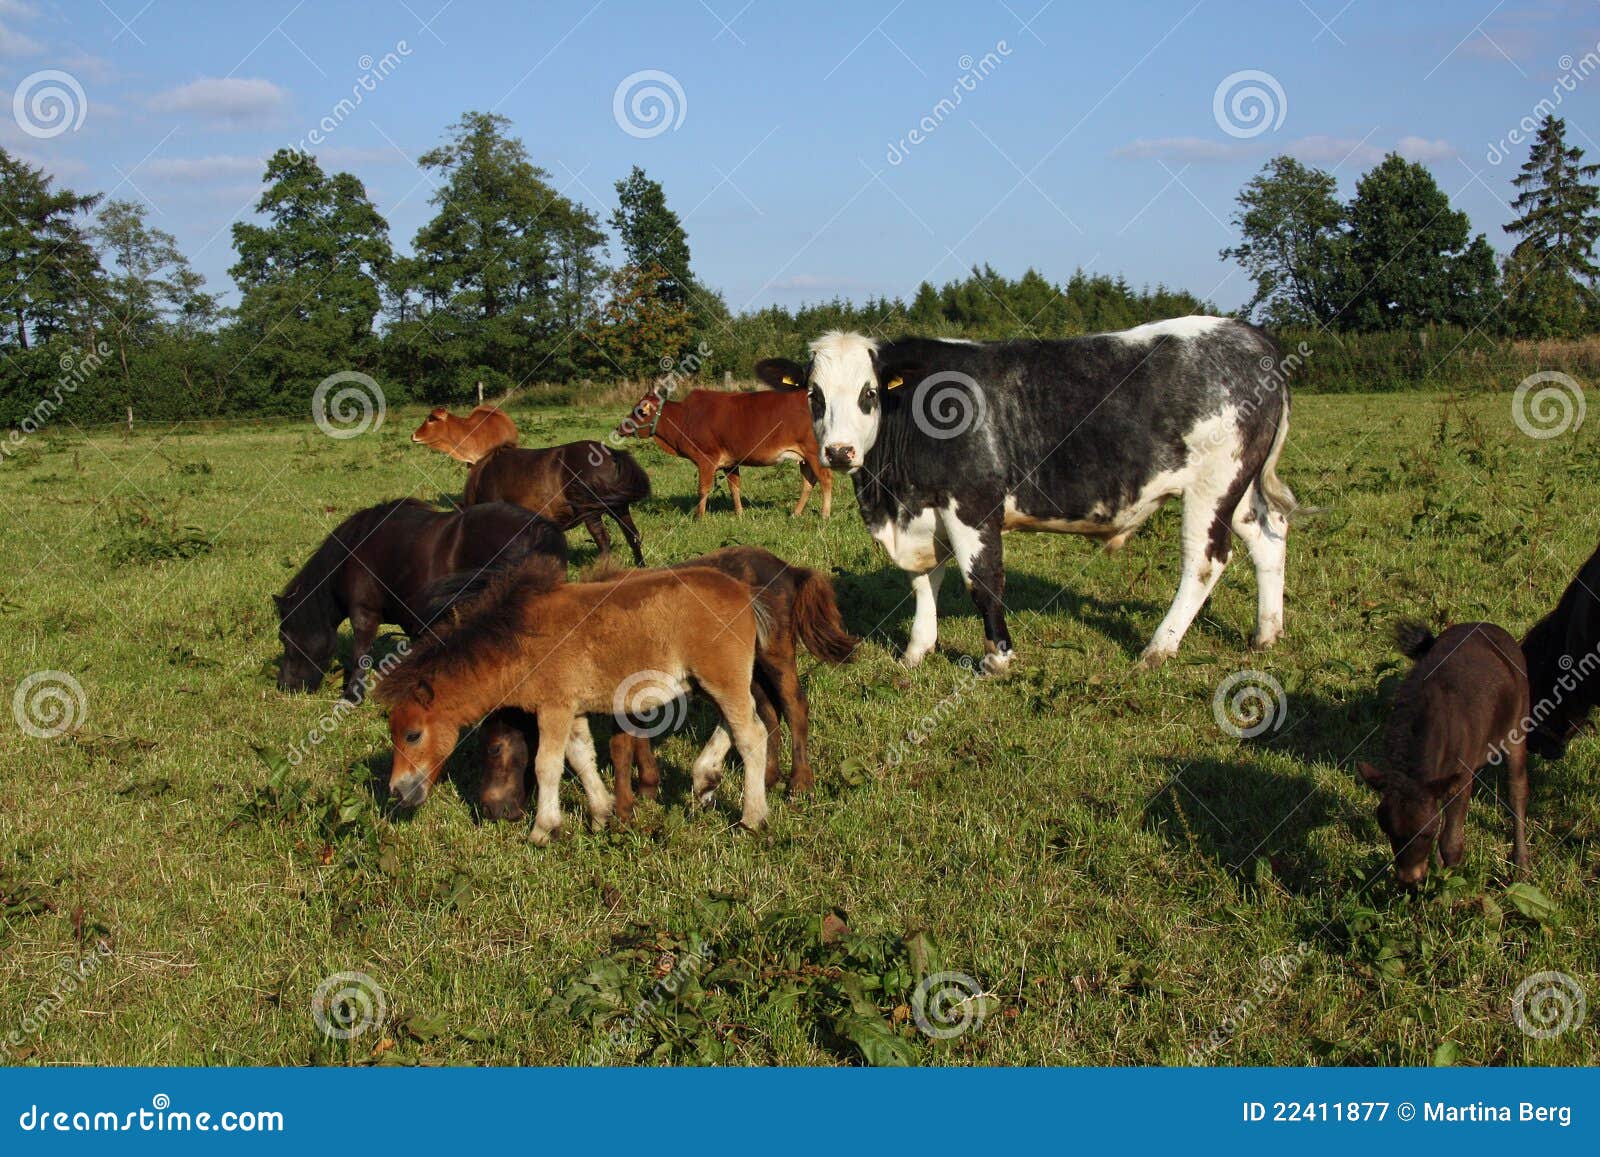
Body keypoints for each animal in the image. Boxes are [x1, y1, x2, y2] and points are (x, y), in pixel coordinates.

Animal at [274, 499, 566, 702]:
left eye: (285, 638)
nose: (284, 686)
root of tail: (538, 530)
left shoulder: (364, 613)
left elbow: (360, 654)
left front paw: (351, 697)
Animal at [376, 557, 773, 842]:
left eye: (413, 735)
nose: (396, 790)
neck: (523, 640)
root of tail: (743, 591)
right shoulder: (573, 711)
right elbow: (582, 759)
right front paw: (600, 814)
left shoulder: (554, 709)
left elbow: (546, 765)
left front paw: (542, 829)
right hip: (708, 682)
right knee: (734, 724)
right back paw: (705, 777)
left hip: (723, 680)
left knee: (751, 734)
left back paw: (751, 817)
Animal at [615, 386, 832, 519]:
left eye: (640, 411)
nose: (619, 428)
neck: (684, 417)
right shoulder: (731, 462)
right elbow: (734, 488)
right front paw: (740, 514)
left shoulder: (706, 459)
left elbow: (703, 489)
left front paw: (699, 517)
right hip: (804, 458)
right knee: (809, 482)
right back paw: (795, 513)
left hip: (814, 454)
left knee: (826, 480)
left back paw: (825, 514)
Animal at [755, 317, 1297, 669]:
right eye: (813, 396)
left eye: (869, 394)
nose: (839, 452)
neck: (890, 495)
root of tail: (1249, 334)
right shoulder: (924, 512)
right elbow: (924, 581)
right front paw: (916, 650)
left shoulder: (973, 504)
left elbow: (982, 580)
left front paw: (998, 656)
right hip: (1241, 488)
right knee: (1268, 536)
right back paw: (1266, 634)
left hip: (1212, 483)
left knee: (1205, 561)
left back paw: (1158, 648)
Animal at [1358, 621, 1530, 886]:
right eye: (1387, 829)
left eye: (1427, 832)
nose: (1409, 879)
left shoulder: (1461, 776)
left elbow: (1451, 842)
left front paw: (1449, 884)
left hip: (1518, 726)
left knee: (1517, 790)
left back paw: (1521, 863)